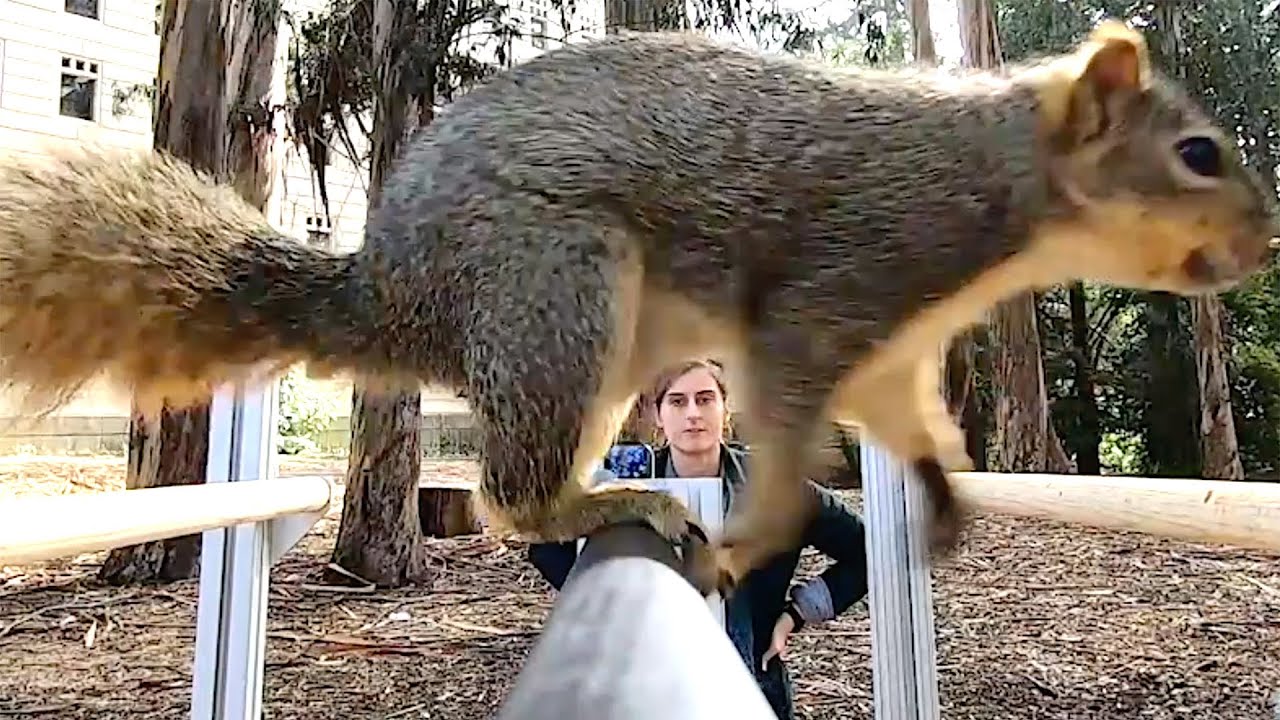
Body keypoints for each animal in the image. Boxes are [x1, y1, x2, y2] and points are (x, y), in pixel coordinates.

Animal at [0, 19, 1273, 597]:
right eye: (1196, 155)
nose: (1262, 240)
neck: (994, 178)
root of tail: (394, 292)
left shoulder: (889, 347)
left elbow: (904, 421)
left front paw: (942, 493)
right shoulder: (836, 285)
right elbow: (791, 417)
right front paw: (757, 536)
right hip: (553, 295)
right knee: (512, 494)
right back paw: (619, 502)